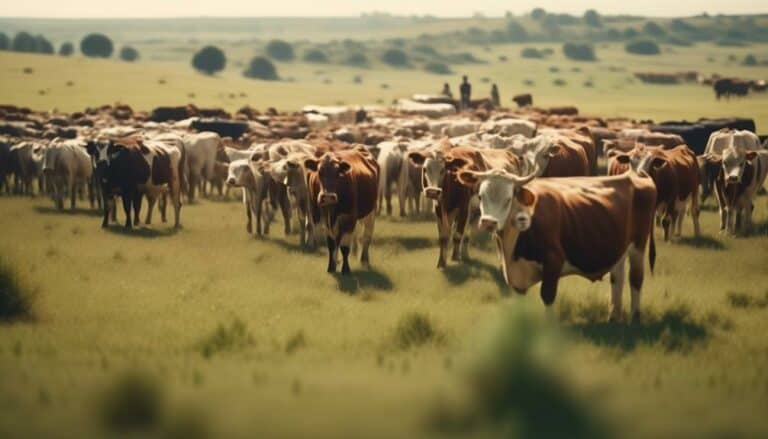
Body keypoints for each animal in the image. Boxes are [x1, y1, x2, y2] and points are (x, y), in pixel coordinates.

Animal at [456, 168, 657, 321]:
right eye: (480, 196)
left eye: (508, 199)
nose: (488, 222)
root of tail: (635, 174)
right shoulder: (517, 275)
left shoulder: (553, 260)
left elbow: (547, 295)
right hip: (618, 247)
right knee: (617, 279)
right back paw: (613, 317)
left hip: (638, 245)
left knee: (636, 279)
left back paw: (635, 318)